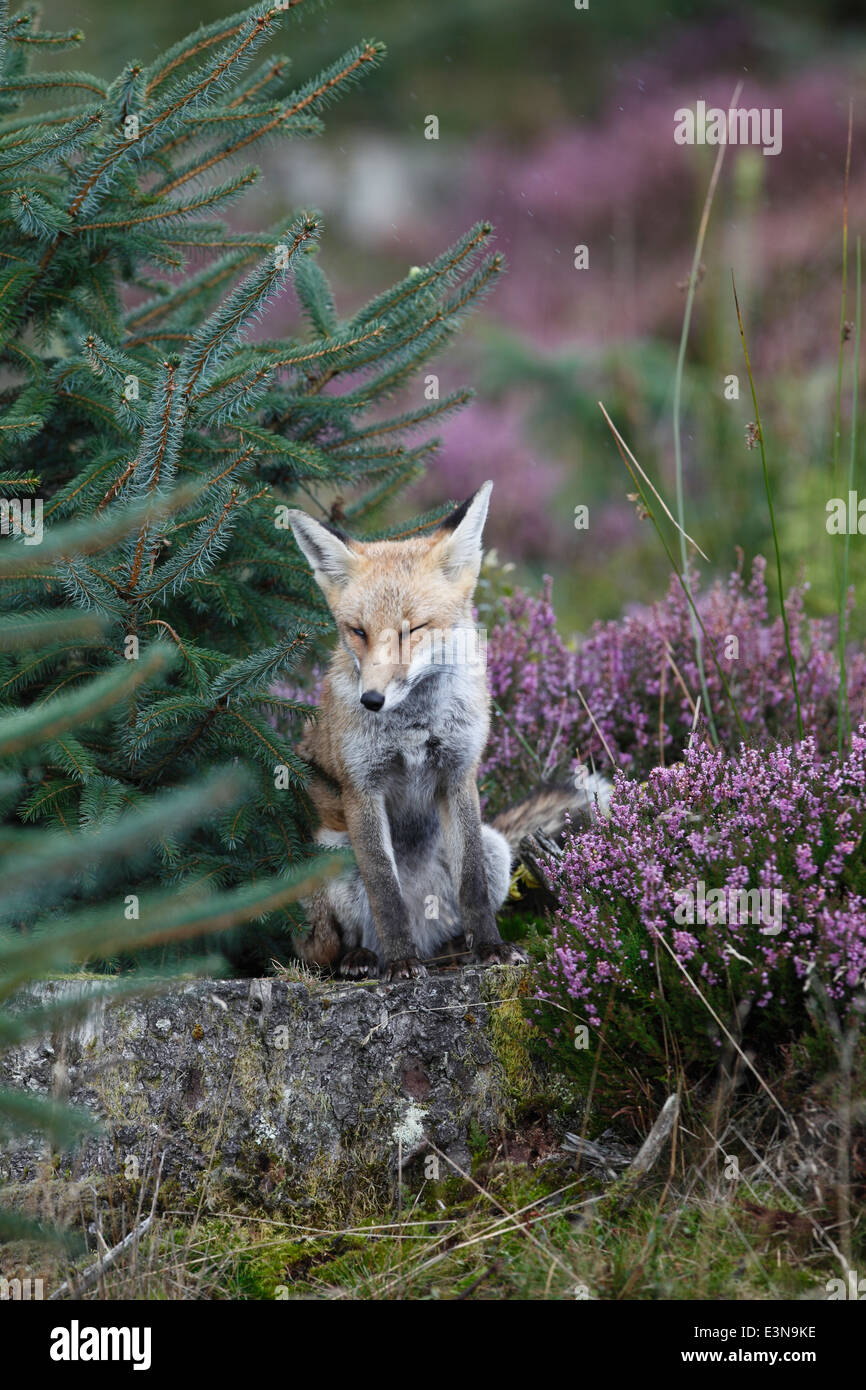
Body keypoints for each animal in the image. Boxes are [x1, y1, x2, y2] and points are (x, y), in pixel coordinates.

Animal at [286, 481, 607, 981]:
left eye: (413, 629)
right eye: (358, 631)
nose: (371, 700)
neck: (417, 725)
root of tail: (428, 934)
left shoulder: (459, 773)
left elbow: (471, 883)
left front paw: (492, 948)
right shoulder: (363, 788)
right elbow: (385, 890)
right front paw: (401, 963)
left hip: (497, 848)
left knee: (455, 919)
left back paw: (456, 948)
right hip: (329, 861)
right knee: (333, 949)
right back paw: (367, 959)